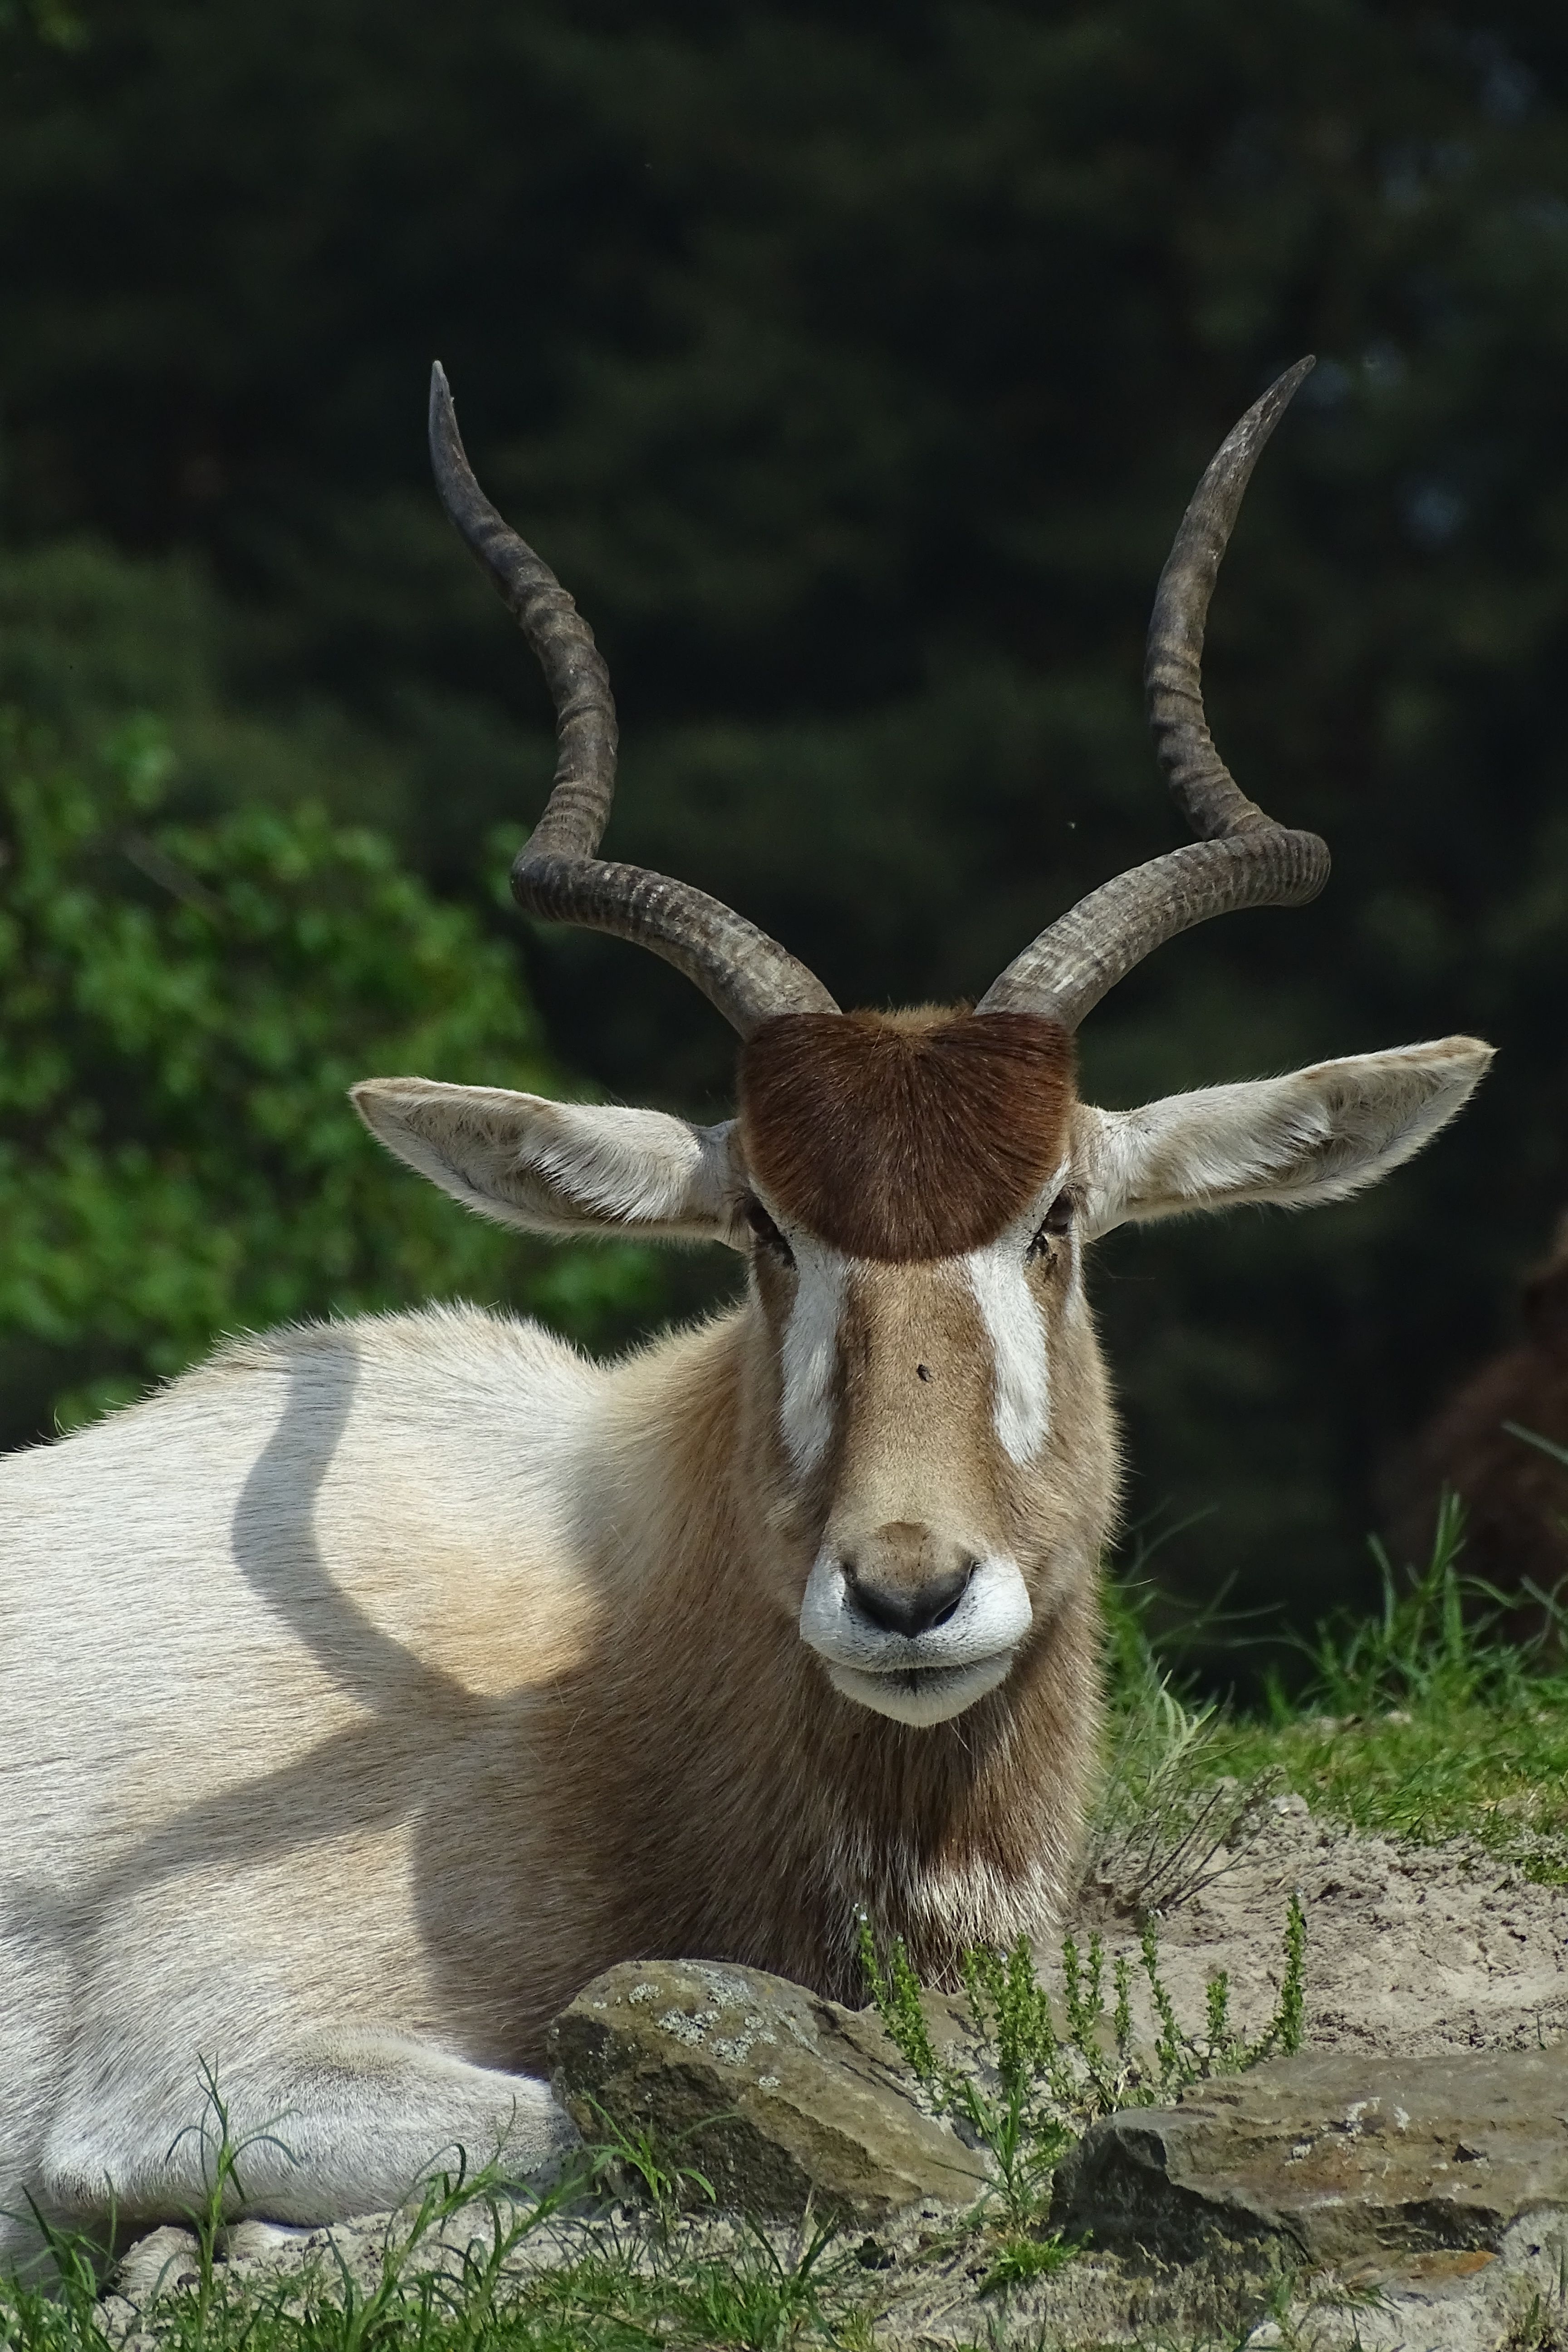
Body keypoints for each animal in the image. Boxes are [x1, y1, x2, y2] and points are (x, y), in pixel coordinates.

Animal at [0, 358, 1490, 2261]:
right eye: (767, 1230)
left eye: (1058, 1214)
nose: (909, 1593)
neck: (603, 1616)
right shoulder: (174, 2067)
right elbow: (613, 2118)